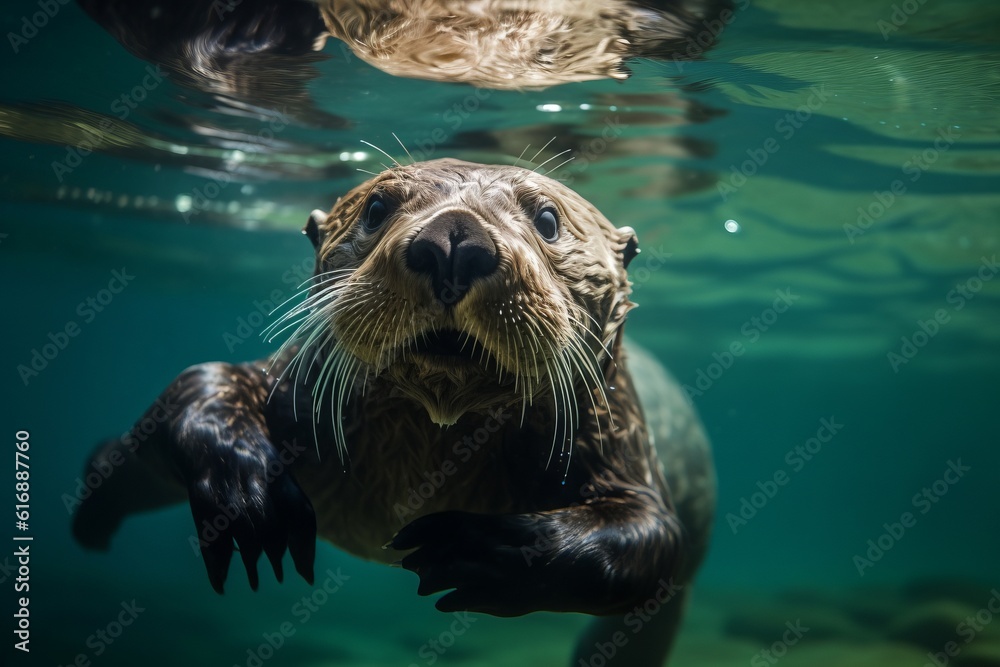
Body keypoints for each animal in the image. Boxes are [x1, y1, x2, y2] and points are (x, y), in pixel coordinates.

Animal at [73, 158, 714, 665]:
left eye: (548, 220)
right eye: (378, 207)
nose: (455, 239)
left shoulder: (615, 436)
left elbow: (650, 534)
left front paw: (474, 549)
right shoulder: (291, 384)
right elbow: (201, 383)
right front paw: (252, 495)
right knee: (144, 460)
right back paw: (93, 511)